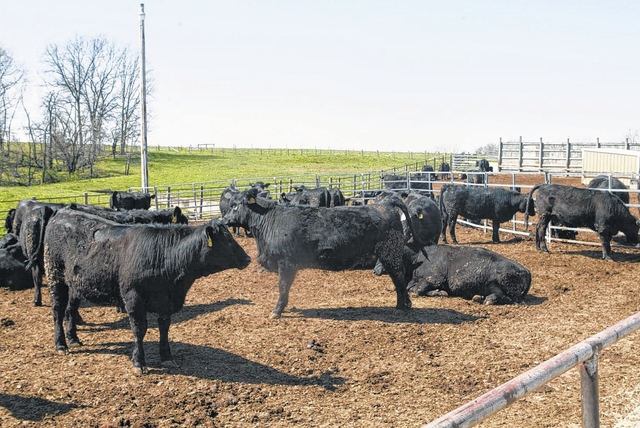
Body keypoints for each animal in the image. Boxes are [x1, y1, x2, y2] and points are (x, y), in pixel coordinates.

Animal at [43, 208, 251, 374]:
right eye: (226, 241)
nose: (248, 258)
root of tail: (61, 212)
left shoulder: (165, 301)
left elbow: (164, 328)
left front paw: (167, 357)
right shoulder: (133, 297)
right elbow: (139, 329)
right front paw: (139, 362)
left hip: (75, 284)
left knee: (70, 310)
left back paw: (73, 338)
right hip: (55, 276)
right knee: (58, 311)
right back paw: (61, 344)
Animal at [221, 187, 429, 319]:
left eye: (235, 205)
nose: (223, 220)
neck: (270, 221)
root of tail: (384, 204)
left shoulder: (286, 264)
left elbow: (283, 287)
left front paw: (277, 311)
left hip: (389, 253)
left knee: (399, 279)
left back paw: (400, 308)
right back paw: (407, 304)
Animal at [376, 245, 531, 305]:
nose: (375, 270)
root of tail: (526, 270)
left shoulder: (435, 278)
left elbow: (419, 290)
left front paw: (440, 292)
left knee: (511, 299)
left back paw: (487, 299)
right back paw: (479, 297)